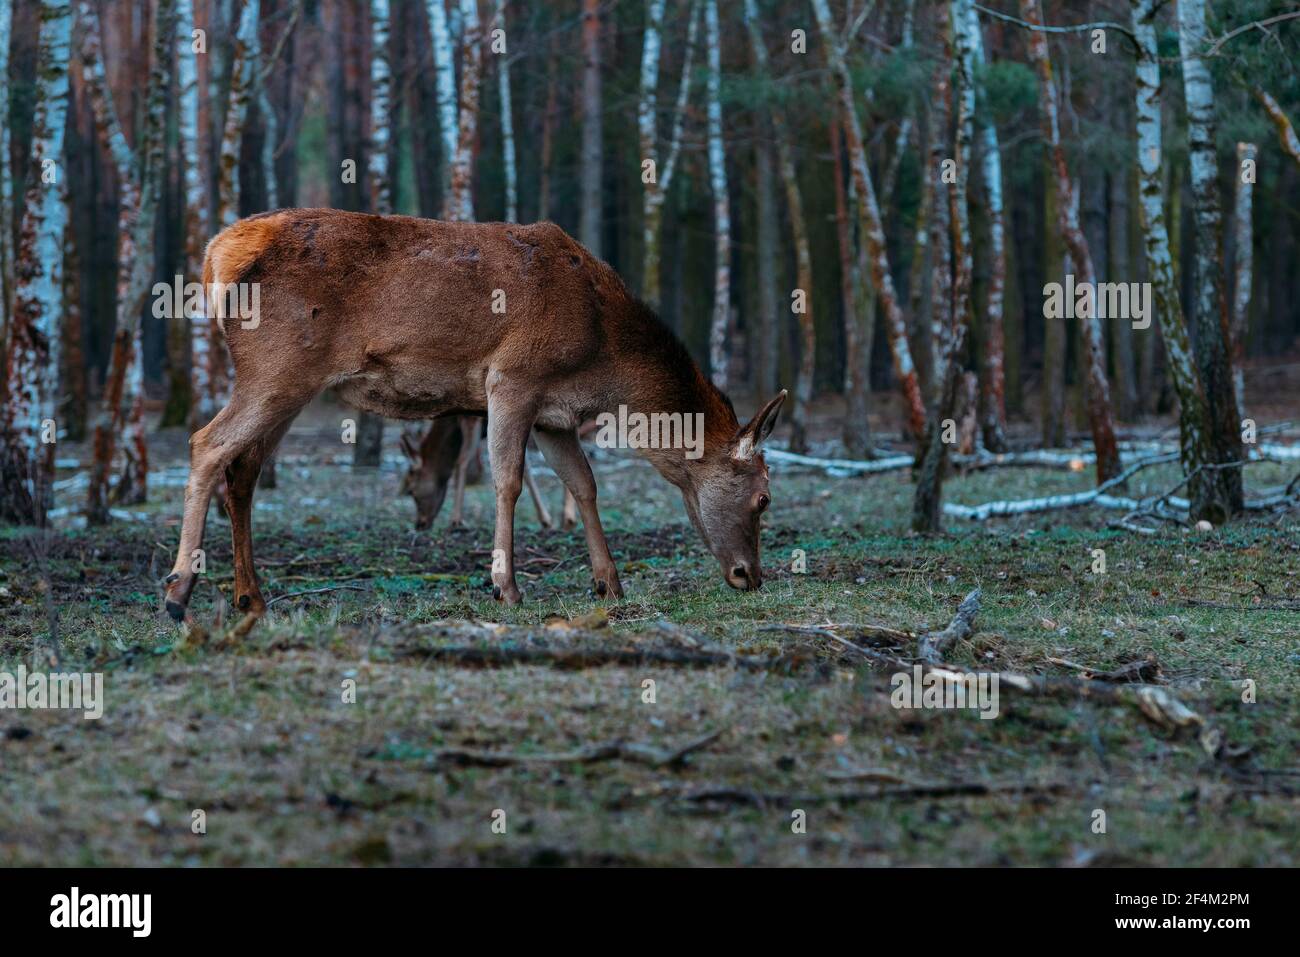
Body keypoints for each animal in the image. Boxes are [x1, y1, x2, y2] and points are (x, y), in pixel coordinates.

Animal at [162, 209, 785, 625]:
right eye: (764, 498)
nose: (749, 576)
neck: (603, 355)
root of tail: (218, 254)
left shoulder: (556, 416)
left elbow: (584, 484)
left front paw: (608, 582)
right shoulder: (512, 377)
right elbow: (507, 481)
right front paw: (505, 586)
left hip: (287, 385)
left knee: (242, 472)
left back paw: (251, 595)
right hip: (277, 367)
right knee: (206, 445)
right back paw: (178, 591)